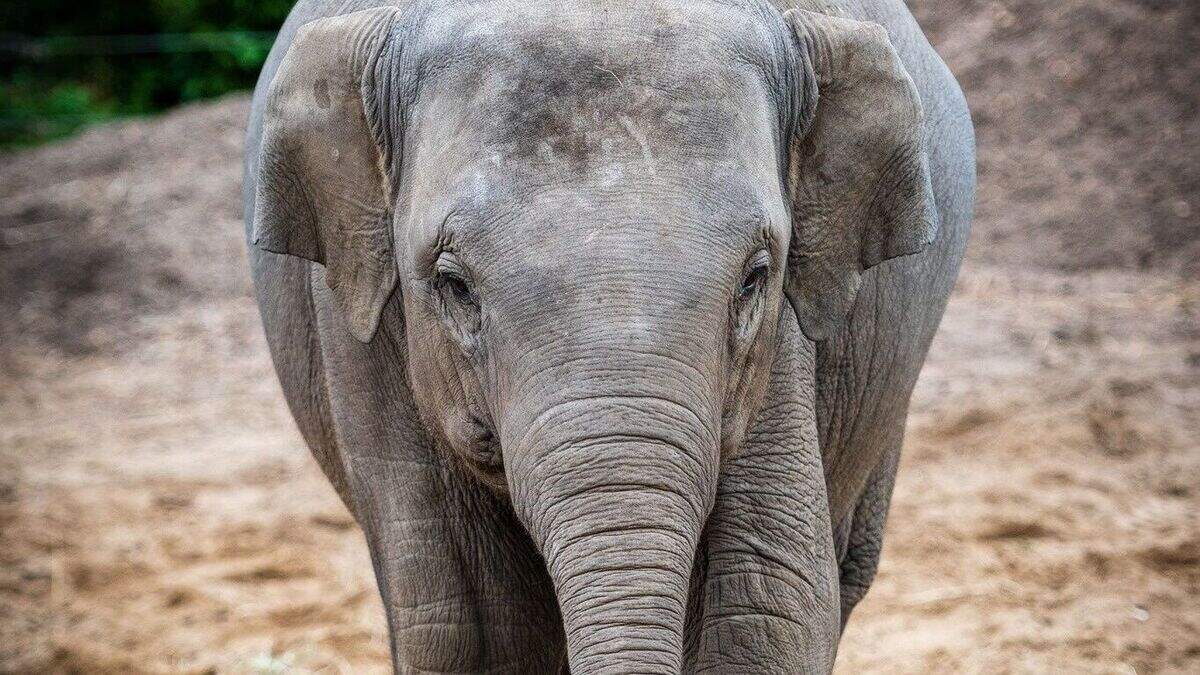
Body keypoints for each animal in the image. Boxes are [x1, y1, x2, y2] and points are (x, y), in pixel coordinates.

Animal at [241, 0, 974, 671]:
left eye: (756, 277)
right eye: (453, 284)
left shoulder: (783, 343)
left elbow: (764, 605)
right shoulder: (360, 326)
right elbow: (471, 628)